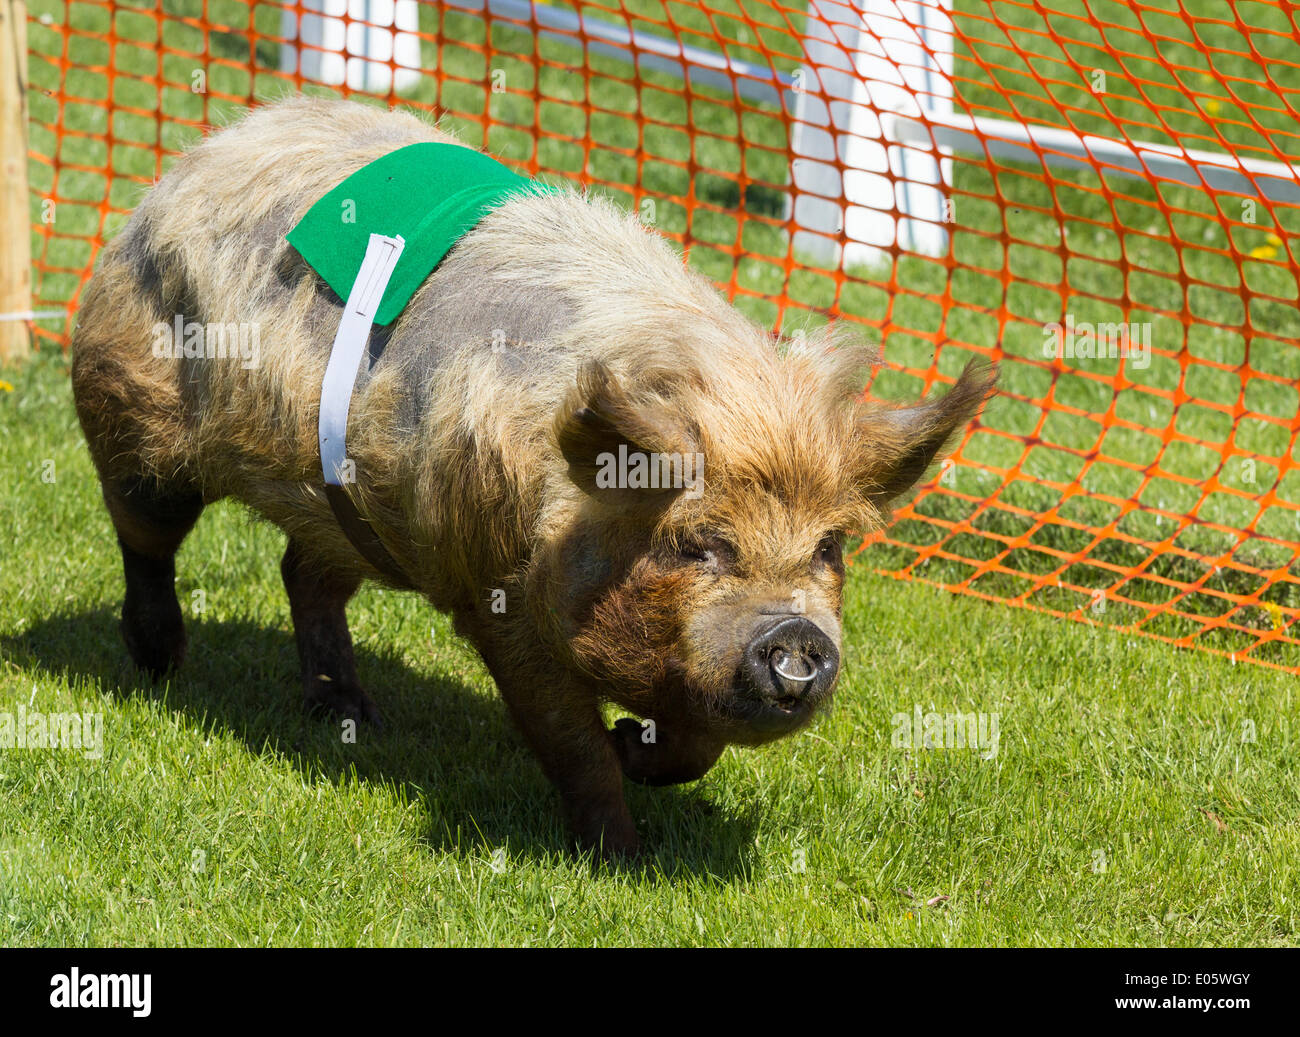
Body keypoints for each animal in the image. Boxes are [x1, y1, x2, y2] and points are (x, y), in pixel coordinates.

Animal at [71, 97, 995, 858]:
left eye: (829, 549)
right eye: (698, 545)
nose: (797, 637)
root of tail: (195, 159)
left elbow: (694, 744)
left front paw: (636, 751)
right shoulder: (499, 597)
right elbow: (569, 743)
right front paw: (620, 855)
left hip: (339, 503)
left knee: (305, 571)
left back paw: (353, 715)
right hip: (131, 399)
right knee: (144, 532)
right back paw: (161, 664)